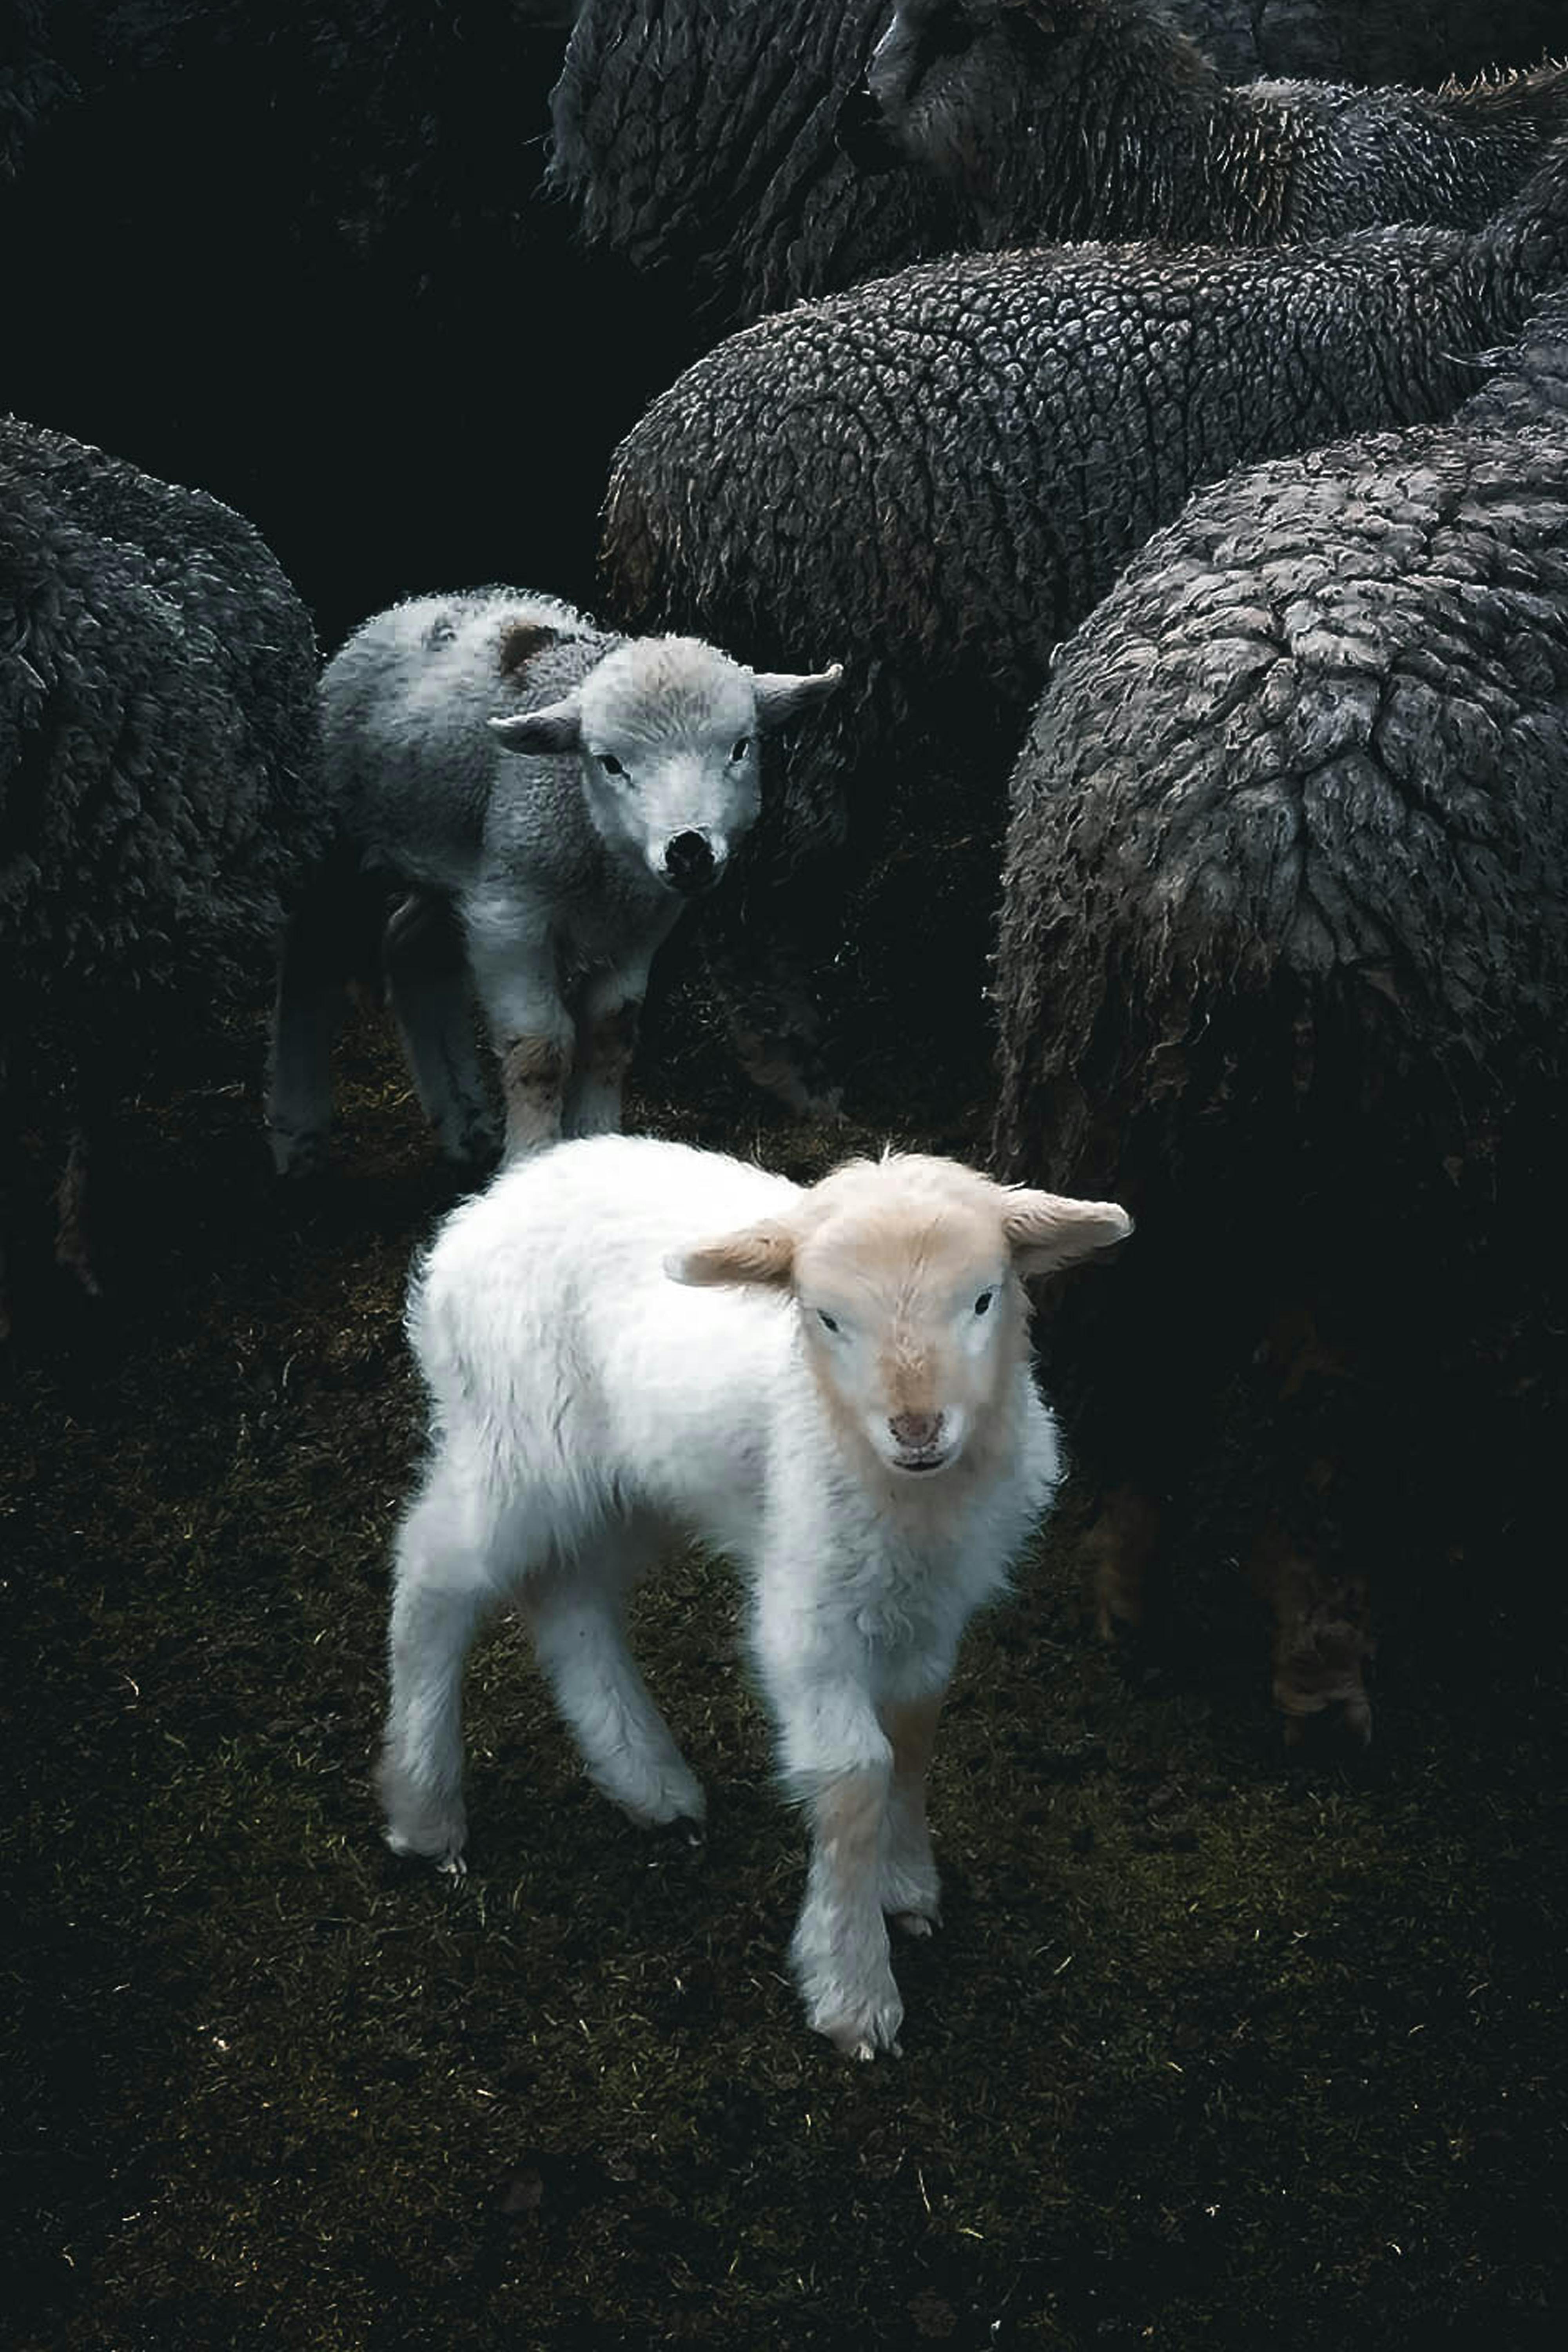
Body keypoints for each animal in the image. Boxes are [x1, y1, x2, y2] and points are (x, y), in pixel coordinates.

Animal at [267, 592, 842, 1173]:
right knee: (310, 959)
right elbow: (539, 1047)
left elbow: (611, 1034)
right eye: (610, 763)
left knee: (411, 949)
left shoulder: (637, 928)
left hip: (461, 865)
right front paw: (531, 1161)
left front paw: (598, 1143)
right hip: (342, 841)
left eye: (740, 748)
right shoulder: (510, 917)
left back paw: (465, 1124)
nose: (689, 850)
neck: (603, 861)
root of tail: (410, 608)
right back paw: (298, 1133)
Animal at [377, 1132, 1131, 2056]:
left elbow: (913, 1736)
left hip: (625, 1478)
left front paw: (905, 1883)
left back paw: (648, 1782)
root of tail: (484, 1208)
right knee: (436, 1574)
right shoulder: (808, 1604)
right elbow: (855, 1770)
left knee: (569, 1595)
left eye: (984, 1299)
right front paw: (853, 1987)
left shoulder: (932, 1606)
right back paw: (425, 1811)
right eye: (827, 1318)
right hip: (513, 1440)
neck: (908, 1494)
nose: (917, 1430)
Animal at [989, 282, 1568, 1741]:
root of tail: (1229, 849)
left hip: (1101, 1106)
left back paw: (1129, 1604)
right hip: (1375, 1184)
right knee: (1324, 1444)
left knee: (1137, 1374)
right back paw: (1321, 1674)